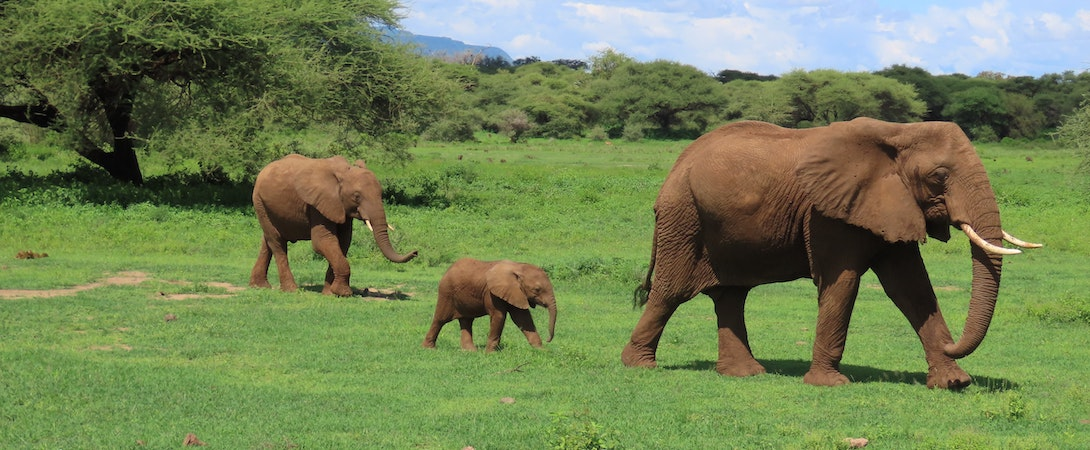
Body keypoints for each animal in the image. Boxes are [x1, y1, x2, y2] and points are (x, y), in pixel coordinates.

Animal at [249, 154, 417, 296]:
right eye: (357, 196)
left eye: (381, 193)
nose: (416, 252)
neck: (343, 173)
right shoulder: (318, 203)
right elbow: (323, 242)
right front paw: (344, 293)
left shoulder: (341, 207)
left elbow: (343, 242)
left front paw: (330, 293)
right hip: (259, 202)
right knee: (277, 242)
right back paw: (291, 290)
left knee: (267, 241)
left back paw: (259, 286)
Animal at [422, 258, 558, 352]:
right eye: (537, 289)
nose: (548, 339)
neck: (517, 267)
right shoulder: (491, 293)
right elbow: (499, 316)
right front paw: (490, 353)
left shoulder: (516, 293)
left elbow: (523, 319)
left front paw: (541, 351)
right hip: (446, 292)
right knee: (440, 319)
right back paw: (428, 348)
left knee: (466, 321)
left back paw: (470, 351)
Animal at [621, 118, 1040, 389]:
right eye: (939, 176)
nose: (952, 343)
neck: (897, 131)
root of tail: (676, 164)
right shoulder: (826, 213)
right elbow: (842, 283)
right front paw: (829, 384)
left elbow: (912, 288)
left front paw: (953, 382)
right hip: (683, 216)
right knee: (671, 291)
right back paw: (639, 367)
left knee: (731, 295)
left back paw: (745, 374)